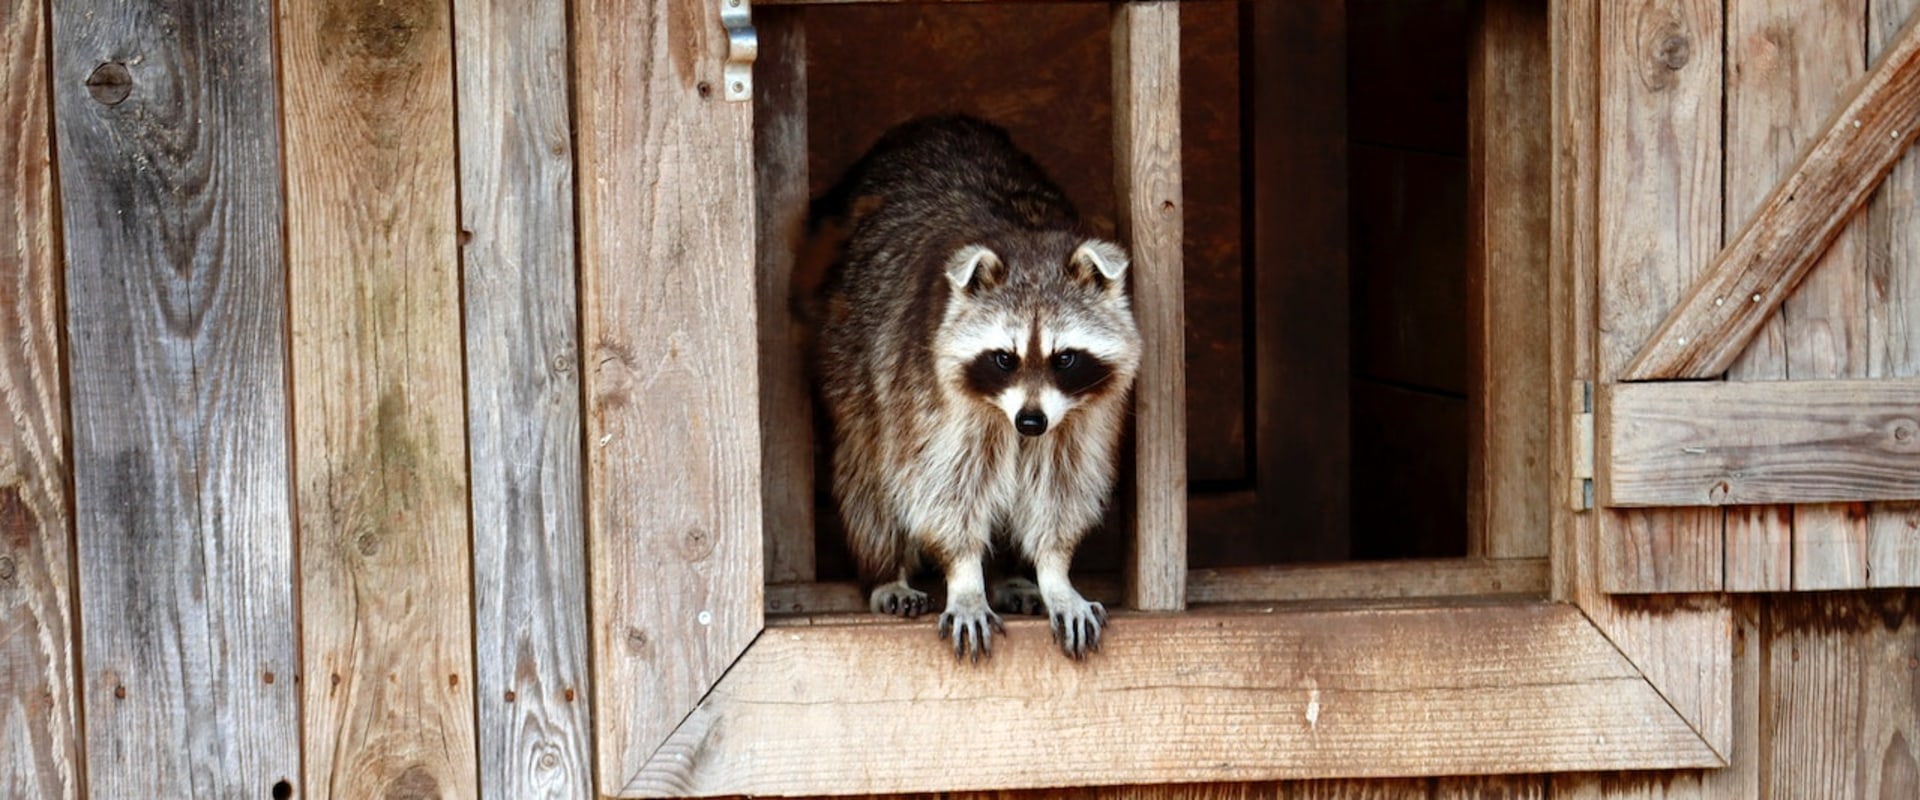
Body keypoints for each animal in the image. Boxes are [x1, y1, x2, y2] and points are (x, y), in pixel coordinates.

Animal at [807, 115, 1142, 660]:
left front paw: (1054, 573)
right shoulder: (925, 386)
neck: (1026, 238)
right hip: (850, 360)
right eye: (1004, 358)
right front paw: (964, 578)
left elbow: (1061, 485)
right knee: (868, 475)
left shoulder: (1083, 414)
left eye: (1064, 358)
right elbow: (941, 487)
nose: (1030, 421)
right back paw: (886, 569)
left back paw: (1011, 575)